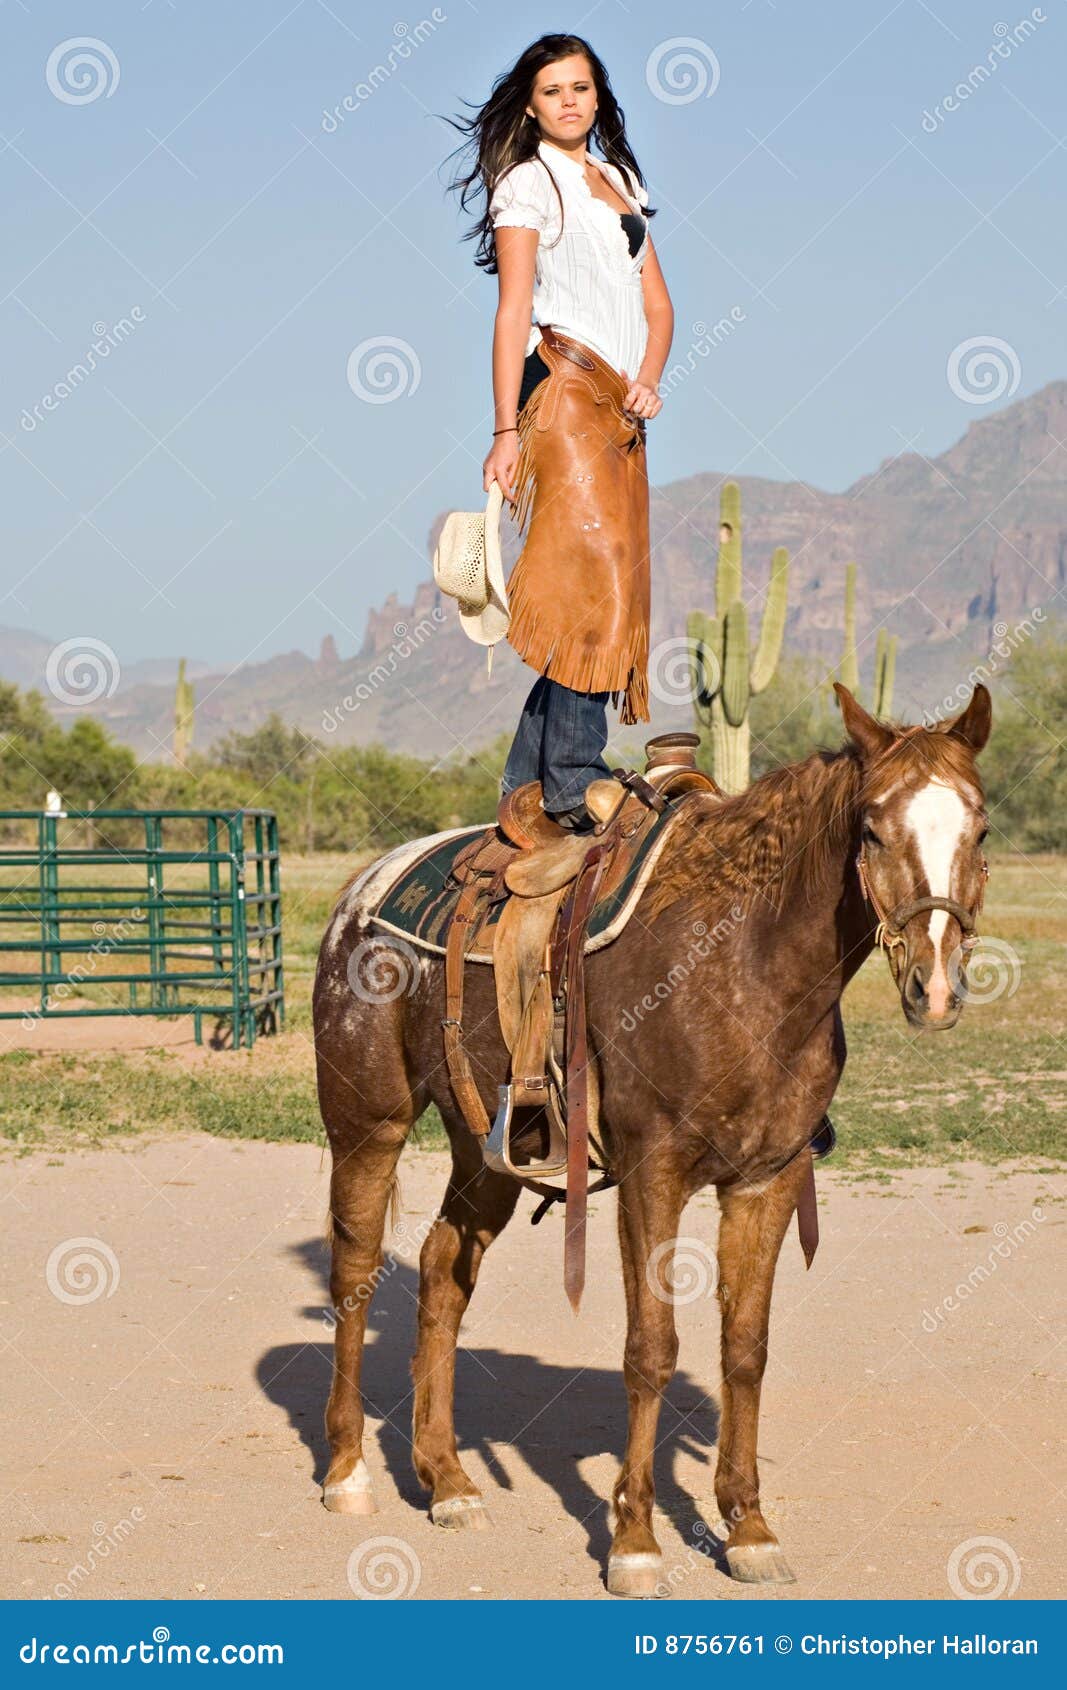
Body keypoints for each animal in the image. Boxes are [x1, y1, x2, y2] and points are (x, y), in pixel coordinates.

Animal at [311, 681, 992, 1596]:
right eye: (872, 829)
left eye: (979, 829)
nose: (935, 987)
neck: (742, 963)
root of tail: (362, 894)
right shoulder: (651, 1173)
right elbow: (651, 1349)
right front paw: (633, 1541)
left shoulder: (766, 1179)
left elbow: (744, 1349)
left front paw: (748, 1528)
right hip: (367, 1122)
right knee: (353, 1271)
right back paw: (348, 1471)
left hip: (484, 1146)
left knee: (443, 1269)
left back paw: (447, 1480)